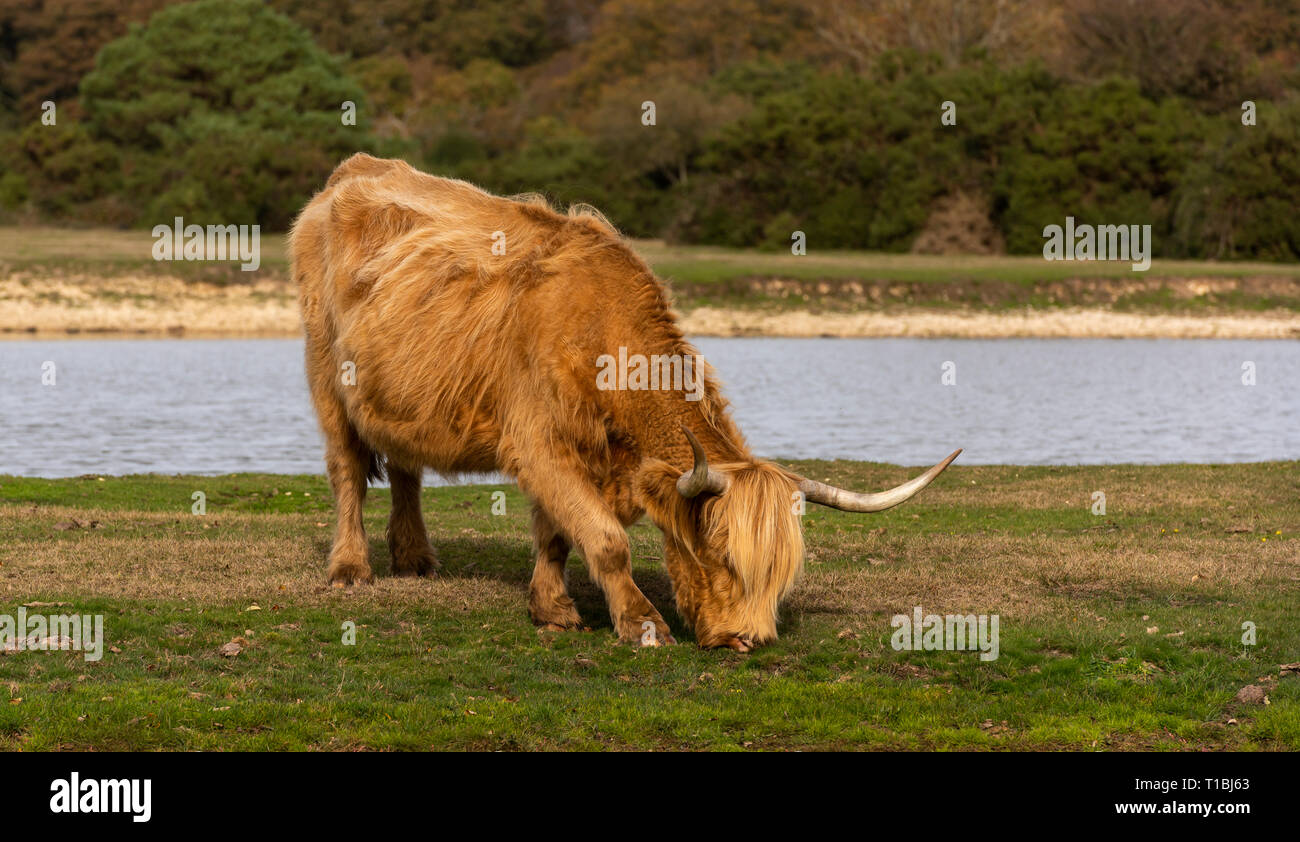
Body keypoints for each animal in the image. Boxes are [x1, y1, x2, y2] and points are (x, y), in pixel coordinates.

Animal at [290, 153, 960, 652]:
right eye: (723, 554)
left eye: (781, 573)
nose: (748, 640)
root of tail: (355, 170)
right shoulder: (541, 445)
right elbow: (605, 539)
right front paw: (641, 623)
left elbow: (558, 534)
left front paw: (551, 609)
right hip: (326, 373)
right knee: (347, 471)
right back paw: (351, 570)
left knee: (405, 468)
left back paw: (415, 559)